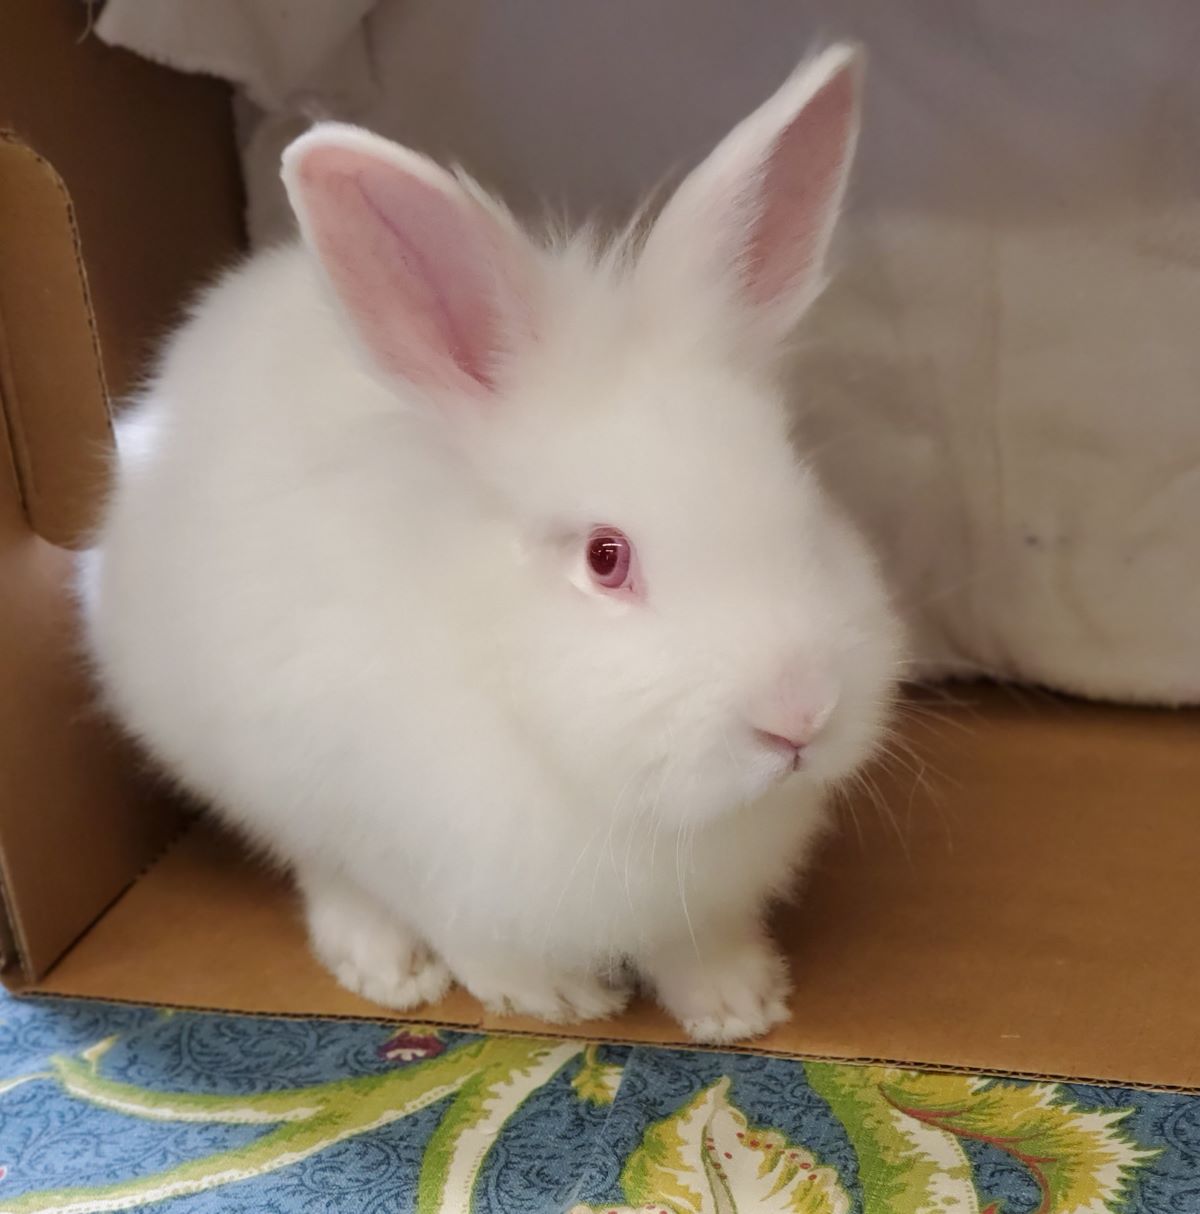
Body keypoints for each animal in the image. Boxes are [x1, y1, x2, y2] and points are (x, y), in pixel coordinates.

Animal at [79, 43, 902, 1044]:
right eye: (605, 557)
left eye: (803, 491)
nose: (799, 717)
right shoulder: (405, 840)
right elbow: (467, 933)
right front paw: (556, 999)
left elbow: (699, 943)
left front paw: (740, 1007)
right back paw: (385, 967)